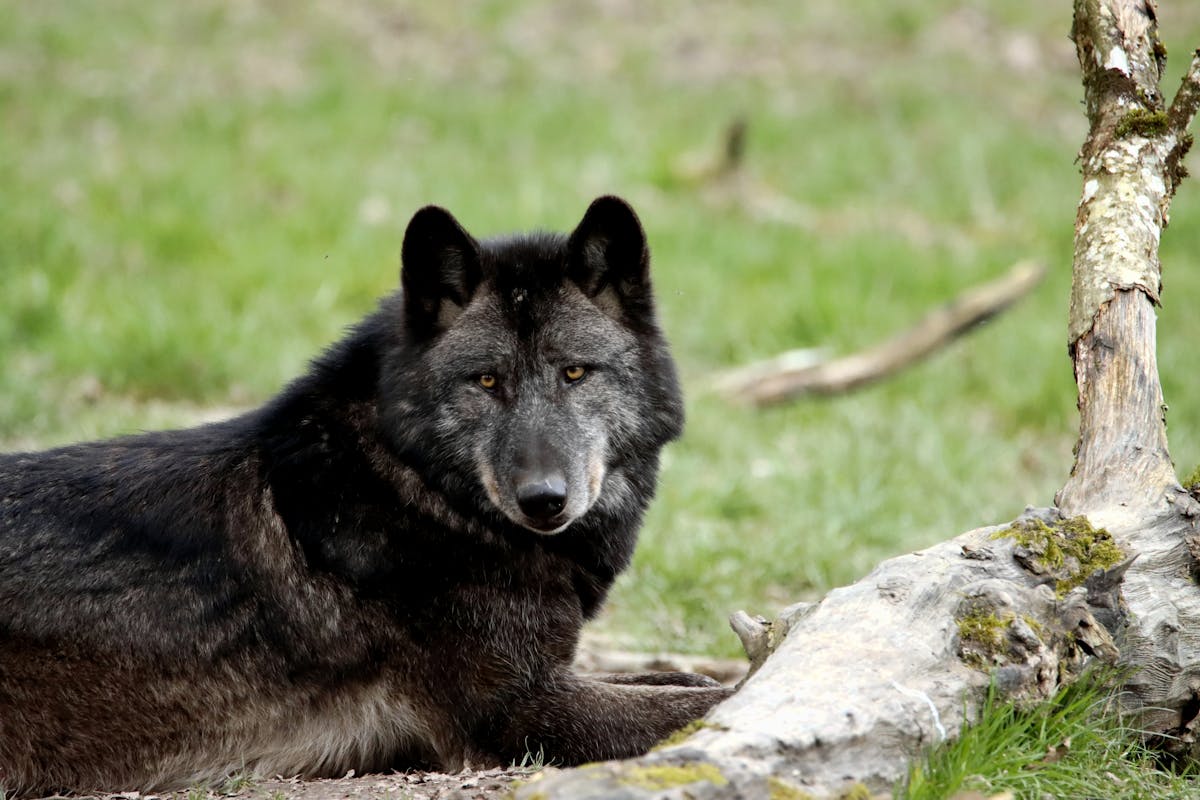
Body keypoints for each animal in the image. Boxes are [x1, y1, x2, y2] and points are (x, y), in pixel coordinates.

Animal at [0, 196, 731, 795]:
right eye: (486, 381)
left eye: (575, 373)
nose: (542, 499)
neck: (417, 489)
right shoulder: (518, 711)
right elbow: (703, 703)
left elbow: (687, 683)